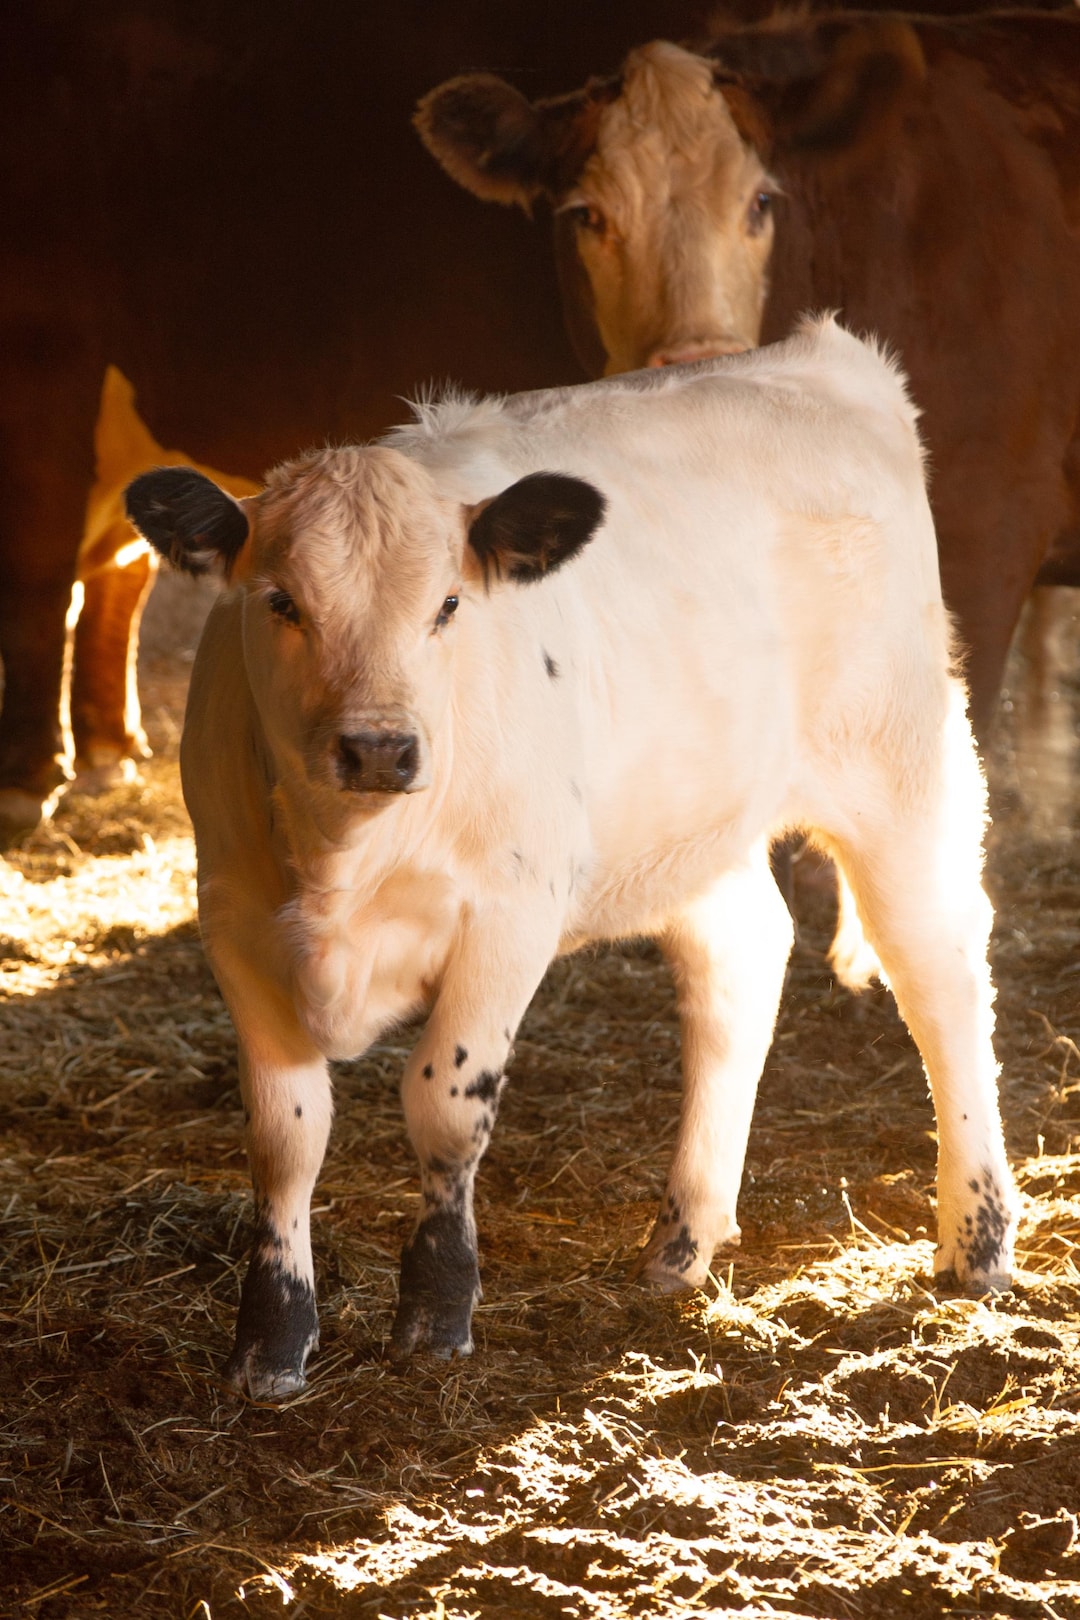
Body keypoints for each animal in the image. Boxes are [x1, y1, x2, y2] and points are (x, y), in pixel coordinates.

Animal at [125, 316, 1017, 1401]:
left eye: (449, 606)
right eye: (281, 602)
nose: (379, 747)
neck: (346, 851)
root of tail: (816, 358)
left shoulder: (509, 914)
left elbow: (443, 1106)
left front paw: (438, 1310)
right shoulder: (235, 917)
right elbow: (284, 1135)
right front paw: (272, 1339)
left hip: (902, 768)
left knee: (941, 974)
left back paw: (976, 1240)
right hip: (696, 811)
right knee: (742, 955)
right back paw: (685, 1237)